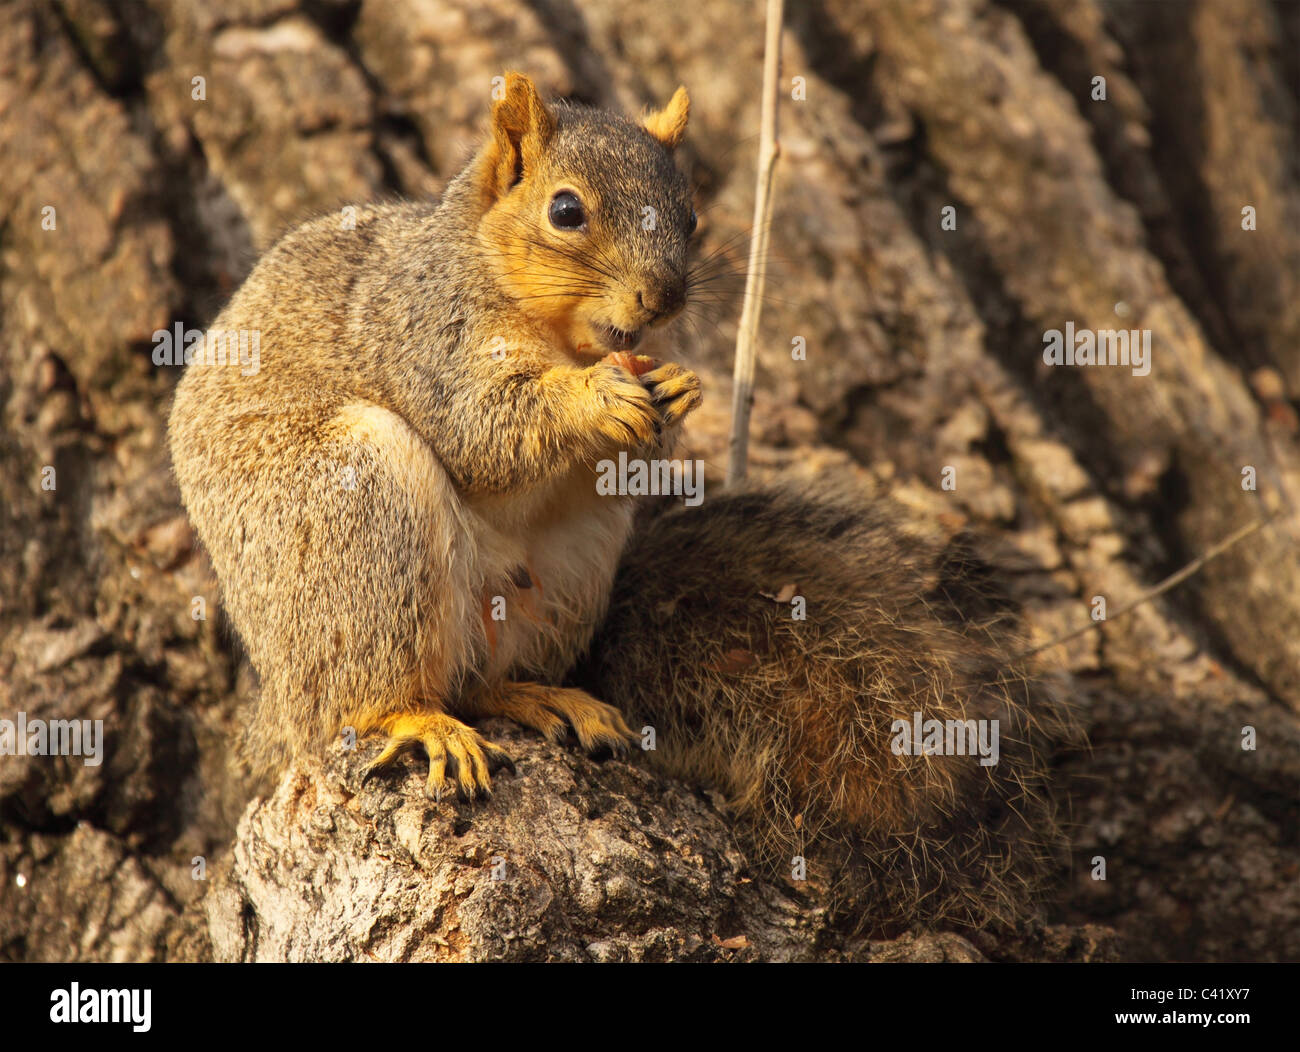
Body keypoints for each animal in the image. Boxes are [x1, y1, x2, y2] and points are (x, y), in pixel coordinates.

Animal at [171, 72, 1071, 933]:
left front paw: (676, 390)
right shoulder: (427, 338)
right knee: (367, 696)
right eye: (565, 211)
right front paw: (592, 400)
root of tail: (276, 698)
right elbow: (480, 431)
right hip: (353, 513)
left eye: (692, 214)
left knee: (475, 678)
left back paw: (538, 696)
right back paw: (411, 717)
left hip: (569, 571)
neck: (554, 328)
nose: (664, 298)